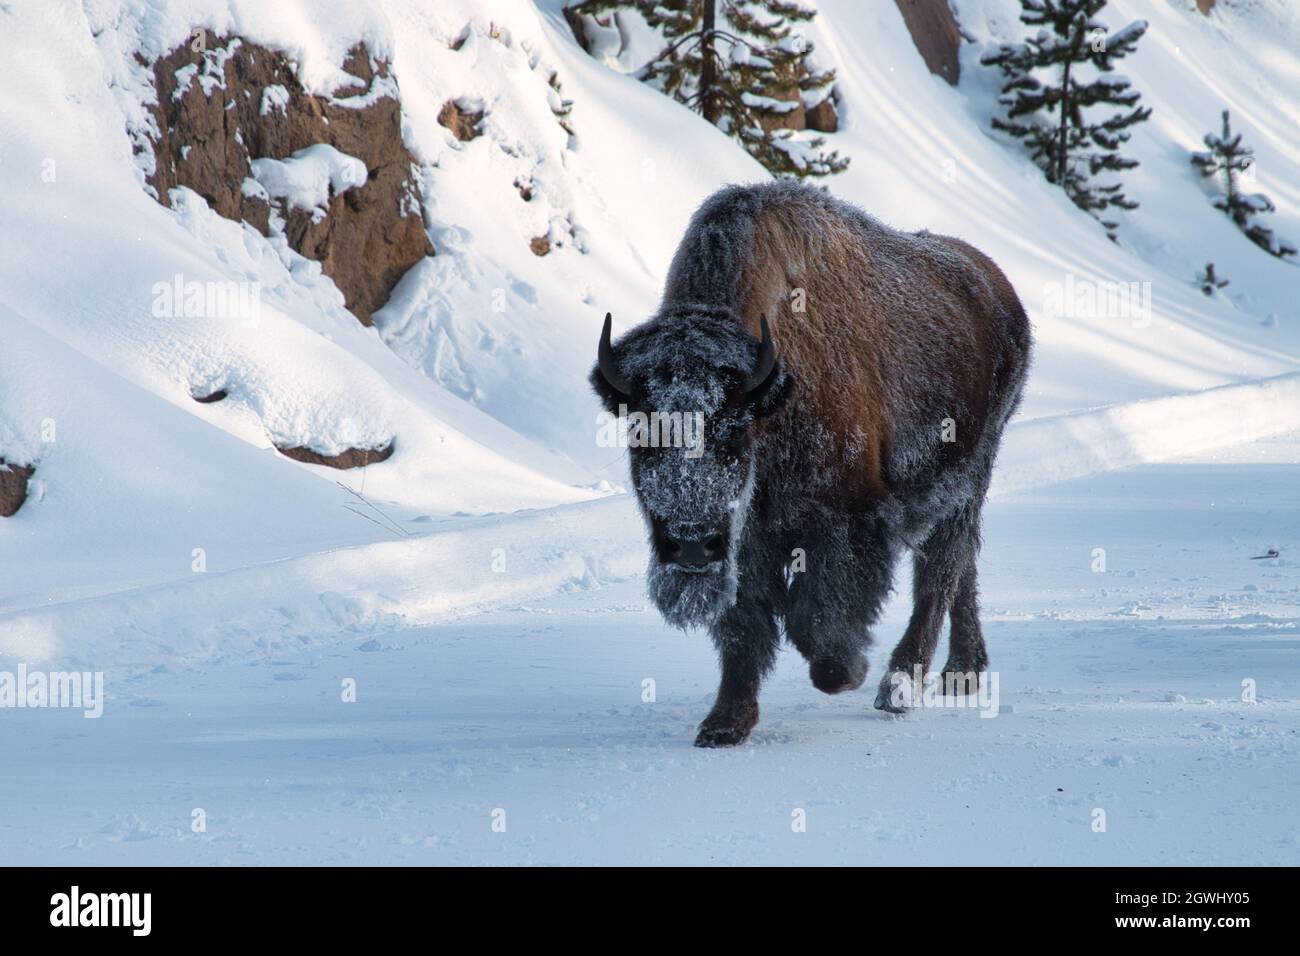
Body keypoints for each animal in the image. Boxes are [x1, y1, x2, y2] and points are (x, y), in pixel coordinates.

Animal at [592, 181, 1031, 746]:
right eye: (640, 434)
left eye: (731, 431)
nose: (689, 544)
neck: (772, 390)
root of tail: (996, 286)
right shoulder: (745, 541)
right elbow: (745, 626)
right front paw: (724, 724)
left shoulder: (845, 520)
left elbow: (815, 616)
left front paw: (844, 671)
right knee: (959, 566)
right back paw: (963, 673)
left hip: (970, 474)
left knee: (939, 573)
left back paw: (897, 687)